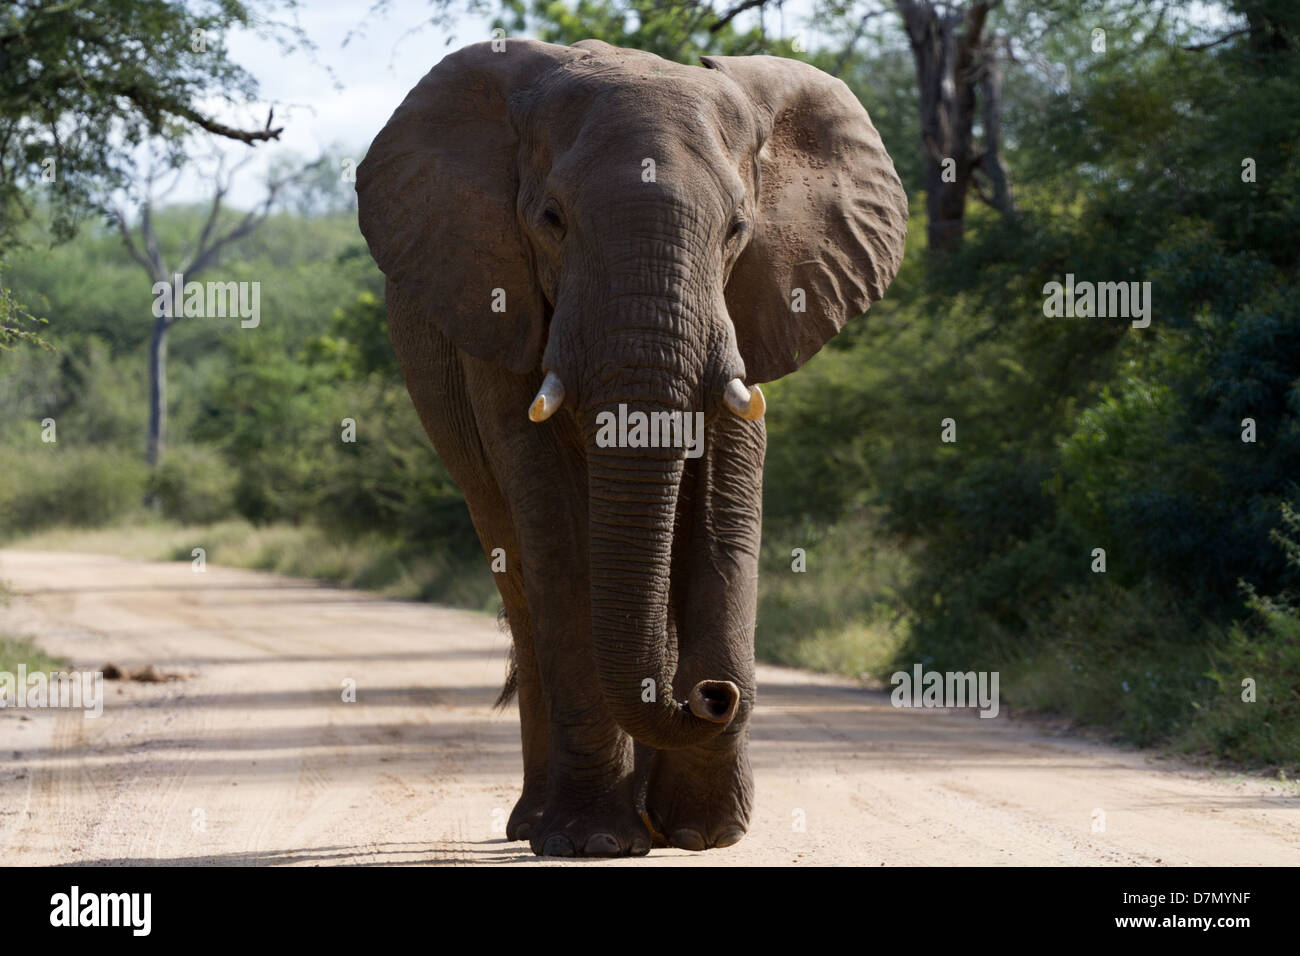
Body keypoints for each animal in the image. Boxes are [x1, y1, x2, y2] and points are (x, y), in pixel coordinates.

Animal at [356, 37, 907, 857]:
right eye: (551, 219)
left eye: (737, 229)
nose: (714, 694)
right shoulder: (501, 303)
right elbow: (554, 528)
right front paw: (593, 841)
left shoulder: (751, 310)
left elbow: (726, 511)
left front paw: (708, 833)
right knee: (518, 571)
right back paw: (541, 823)